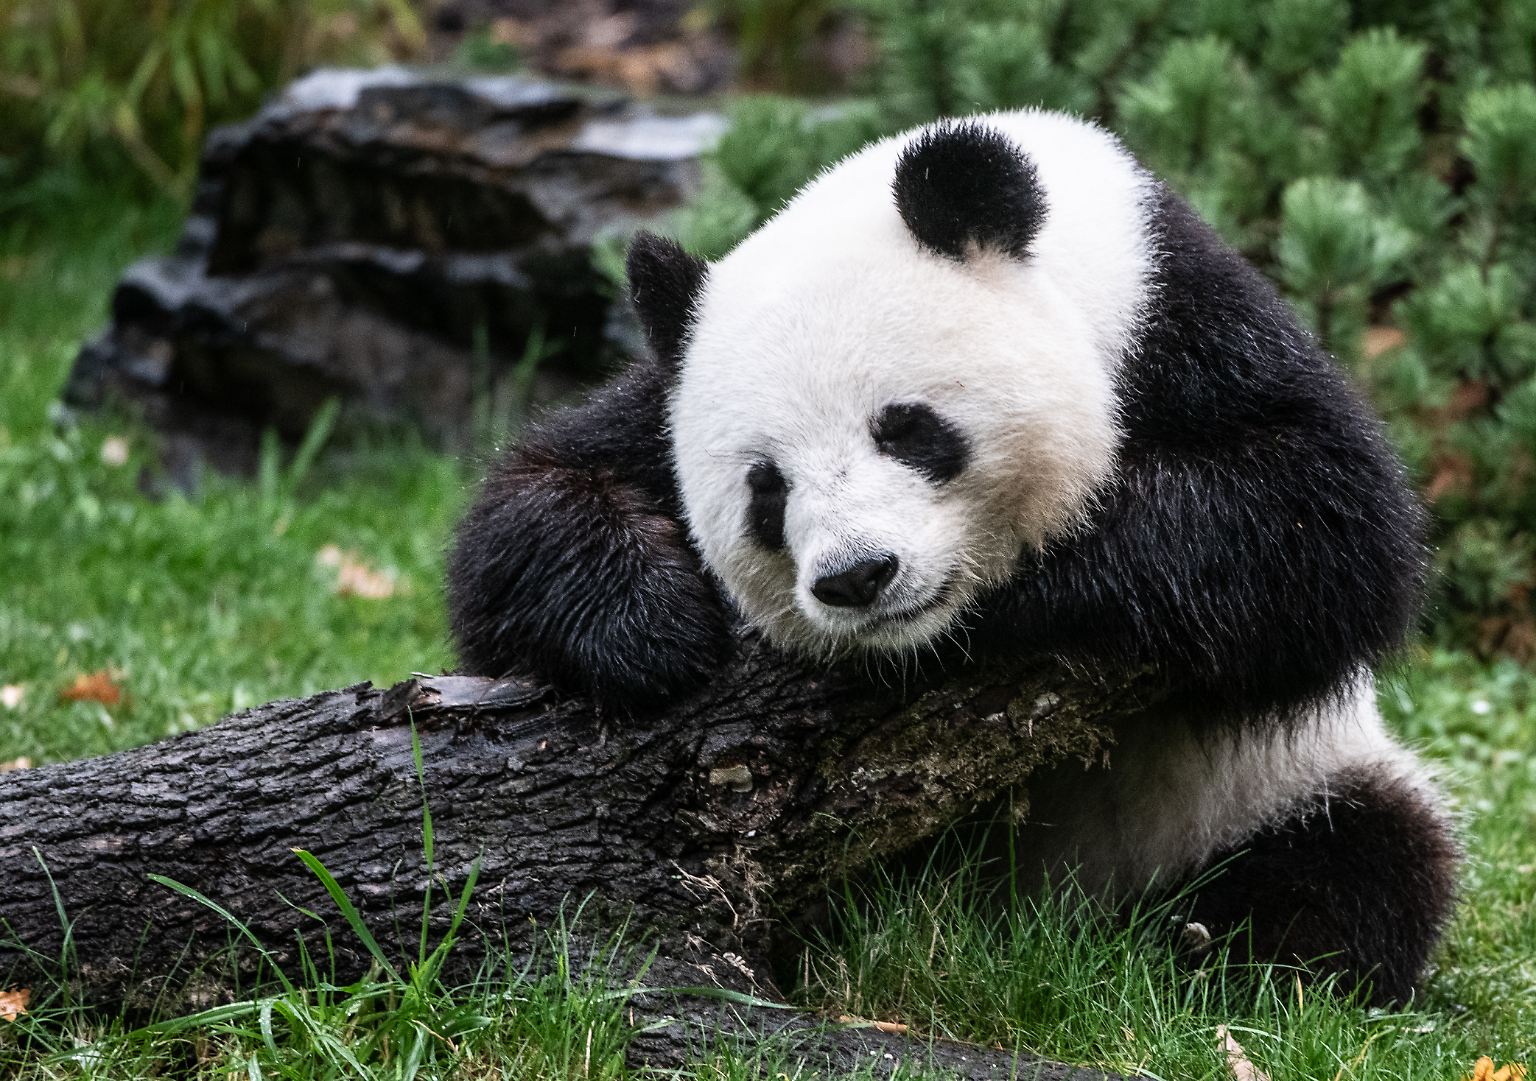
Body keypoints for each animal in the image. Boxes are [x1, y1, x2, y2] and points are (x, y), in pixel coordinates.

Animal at [446, 110, 1459, 1005]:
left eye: (906, 428)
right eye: (767, 489)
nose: (857, 575)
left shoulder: (1182, 317)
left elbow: (1327, 521)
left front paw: (1043, 577)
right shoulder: (653, 406)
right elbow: (520, 517)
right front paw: (651, 625)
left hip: (1273, 788)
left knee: (1357, 867)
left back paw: (1212, 948)